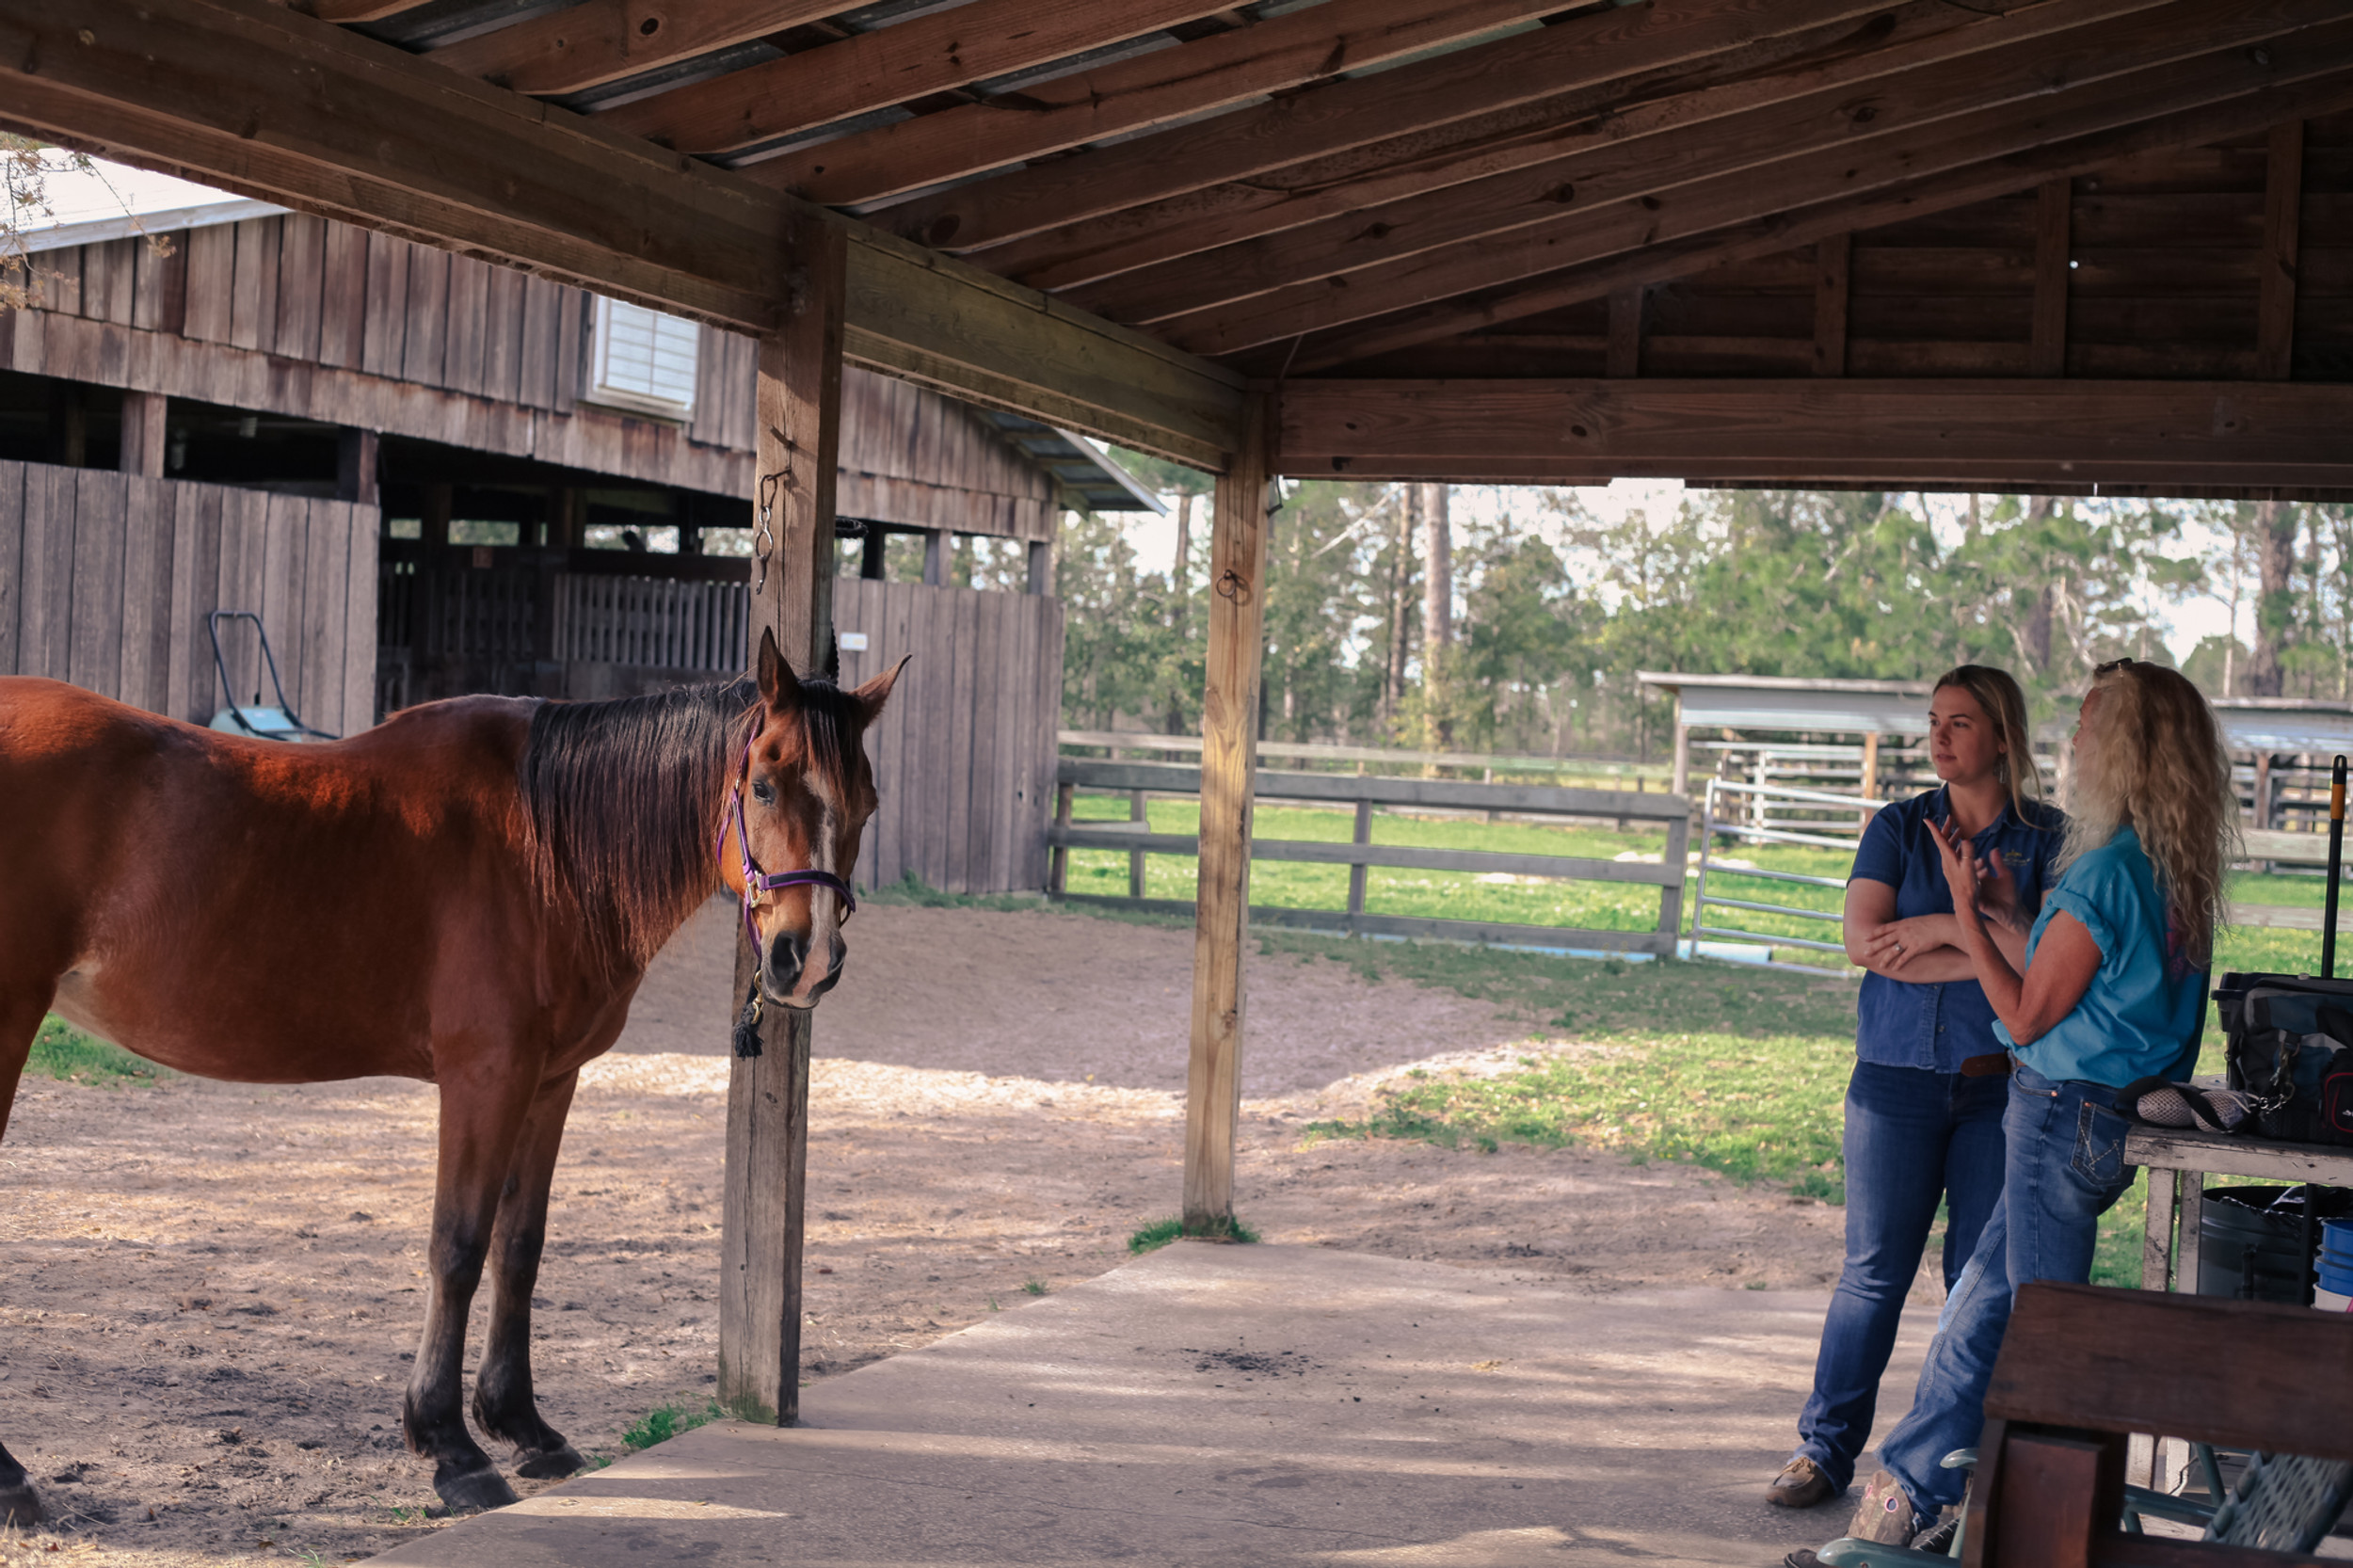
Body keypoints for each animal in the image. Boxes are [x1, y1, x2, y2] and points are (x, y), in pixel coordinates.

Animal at [0, 627, 902, 1521]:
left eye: (866, 804)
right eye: (764, 785)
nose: (805, 959)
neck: (544, 844)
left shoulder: (549, 1081)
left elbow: (520, 1246)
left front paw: (522, 1425)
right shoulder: (485, 1078)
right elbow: (459, 1247)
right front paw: (450, 1447)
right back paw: (14, 1479)